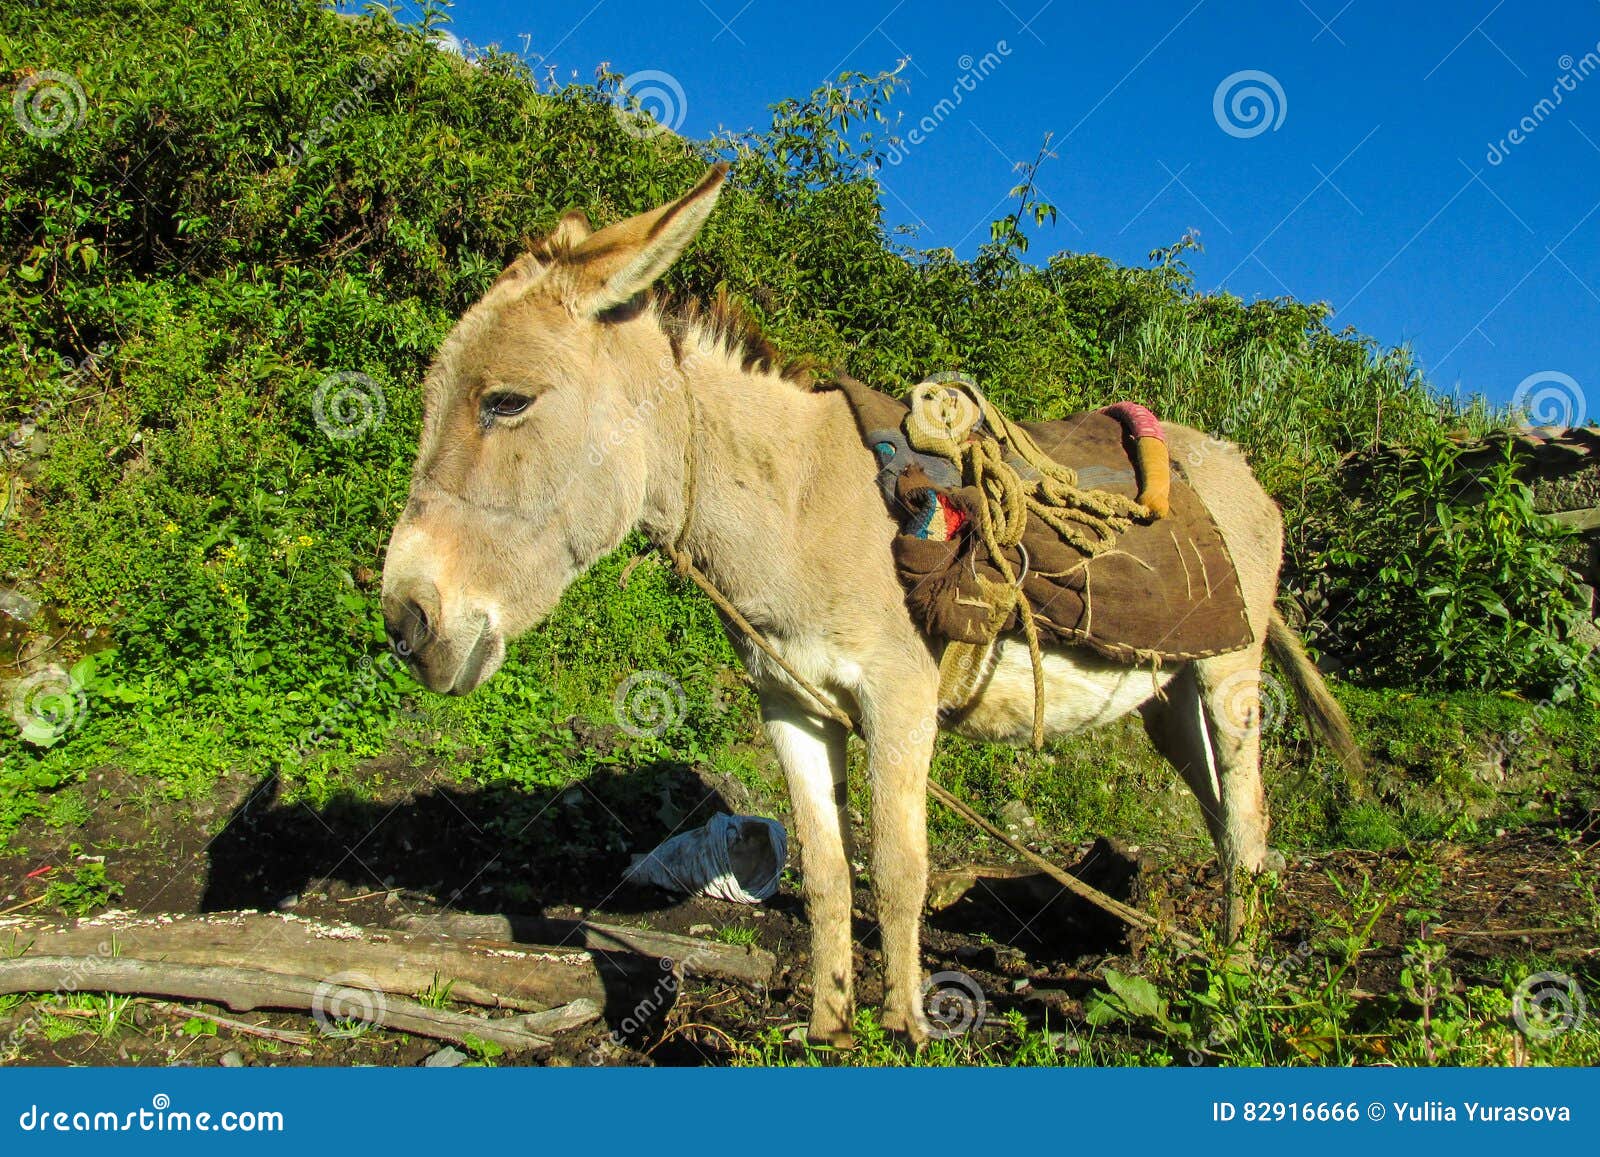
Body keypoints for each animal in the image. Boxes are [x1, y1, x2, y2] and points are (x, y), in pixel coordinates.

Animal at [379, 163, 1361, 1047]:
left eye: (506, 402)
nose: (404, 621)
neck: (797, 506)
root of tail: (1237, 463)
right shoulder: (793, 703)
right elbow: (825, 873)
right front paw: (829, 1028)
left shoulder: (899, 698)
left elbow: (898, 869)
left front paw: (908, 1028)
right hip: (1166, 694)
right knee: (1221, 816)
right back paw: (1221, 964)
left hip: (1230, 672)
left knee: (1249, 820)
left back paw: (1233, 998)